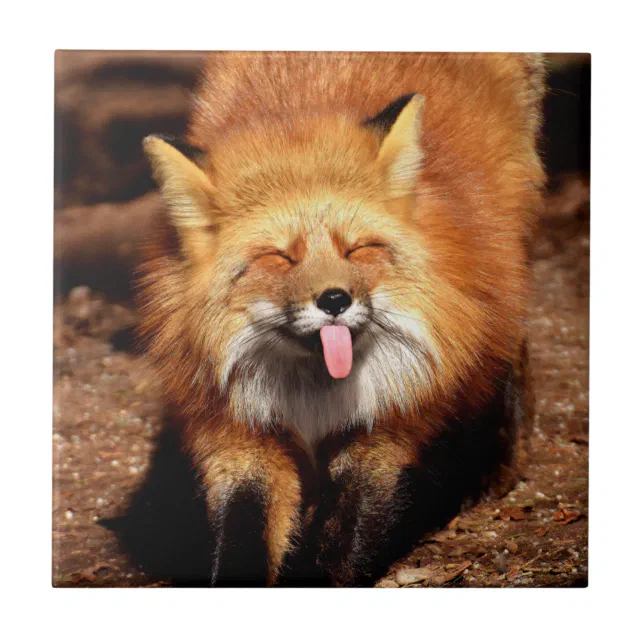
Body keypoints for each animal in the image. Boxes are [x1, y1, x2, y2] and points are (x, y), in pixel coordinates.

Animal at [137, 52, 546, 586]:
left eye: (357, 249)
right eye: (280, 258)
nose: (335, 299)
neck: (314, 397)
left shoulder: (388, 426)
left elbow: (346, 534)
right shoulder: (238, 433)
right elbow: (244, 529)